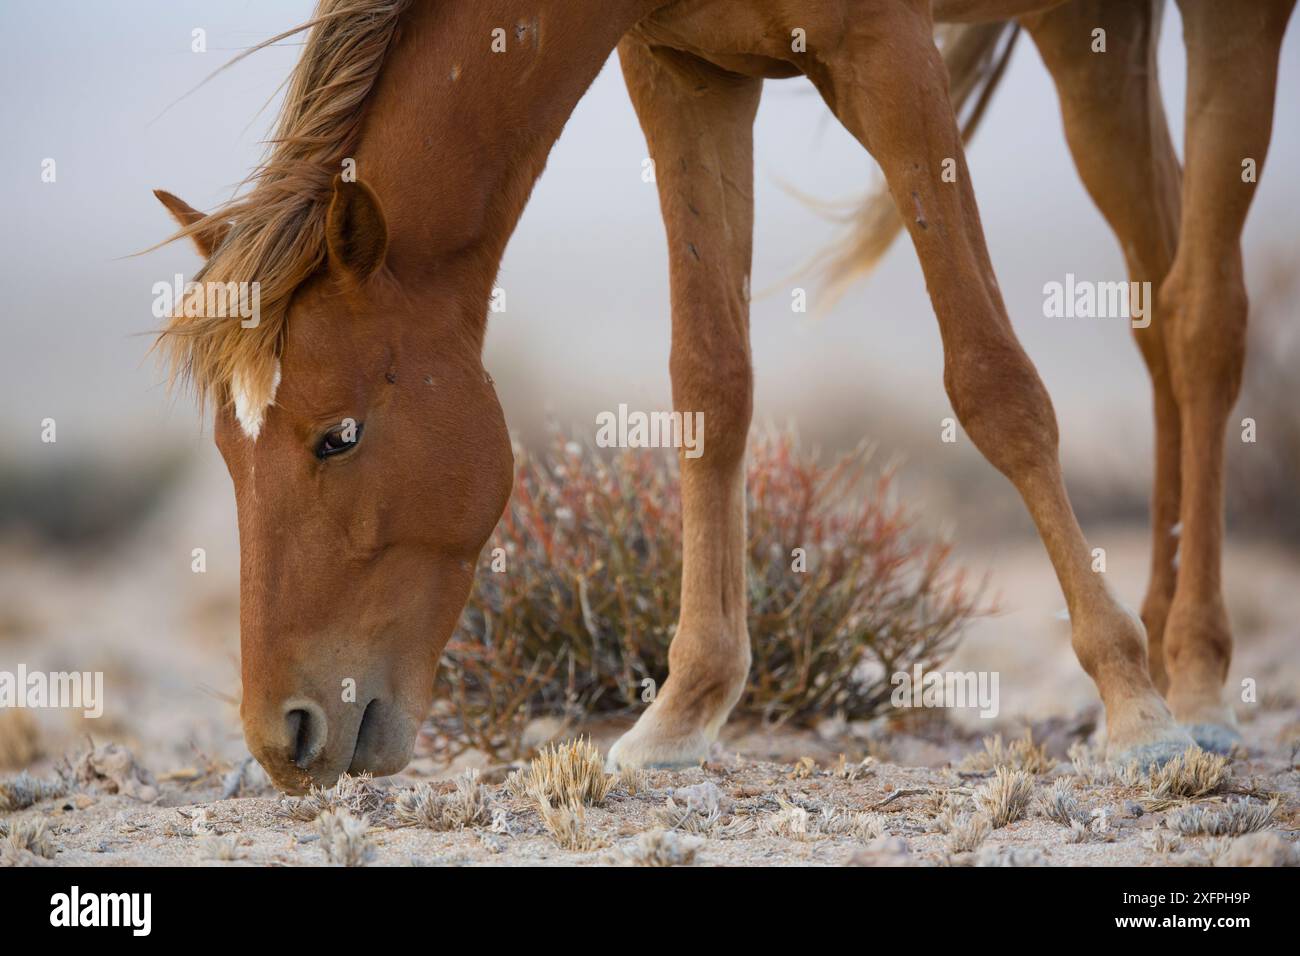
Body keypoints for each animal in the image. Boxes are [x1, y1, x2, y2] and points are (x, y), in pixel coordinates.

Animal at [154, 0, 1295, 793]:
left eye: (338, 436)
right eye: (226, 452)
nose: (285, 733)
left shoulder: (889, 53)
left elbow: (994, 384)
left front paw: (1135, 708)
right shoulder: (685, 71)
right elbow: (710, 382)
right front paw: (682, 712)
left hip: (1224, 21)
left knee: (1202, 320)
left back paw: (1193, 675)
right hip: (1090, 35)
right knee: (1155, 305)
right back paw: (1165, 628)